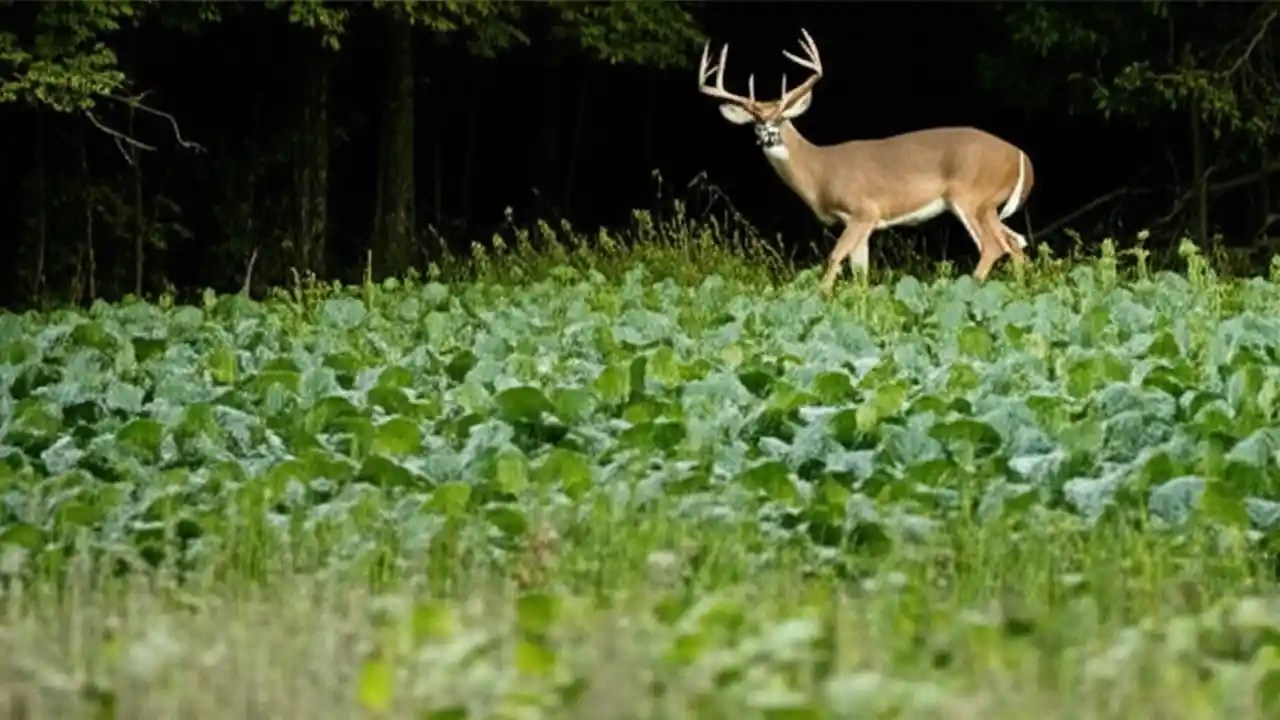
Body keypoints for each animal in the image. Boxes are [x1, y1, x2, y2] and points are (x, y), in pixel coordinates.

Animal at [697, 29, 1035, 295]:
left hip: (971, 196)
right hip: (989, 205)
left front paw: (822, 297)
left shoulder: (864, 211)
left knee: (994, 246)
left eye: (782, 119)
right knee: (1016, 244)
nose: (767, 135)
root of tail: (1021, 155)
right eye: (755, 123)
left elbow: (835, 258)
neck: (819, 172)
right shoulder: (861, 221)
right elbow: (860, 272)